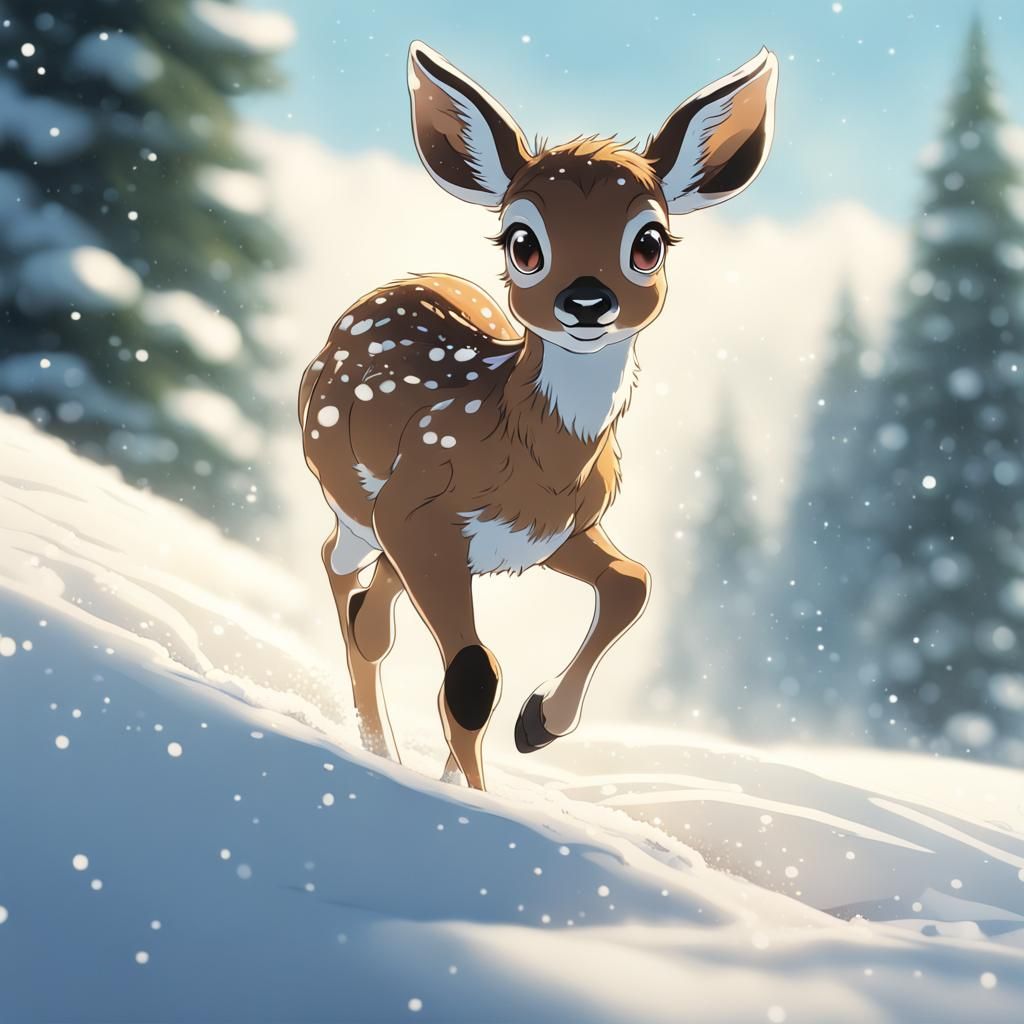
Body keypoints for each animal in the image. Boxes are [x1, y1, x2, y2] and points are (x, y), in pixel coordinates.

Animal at [299, 41, 778, 791]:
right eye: (522, 241)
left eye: (650, 241)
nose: (586, 300)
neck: (530, 458)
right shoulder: (416, 511)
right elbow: (472, 675)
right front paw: (474, 795)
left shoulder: (555, 532)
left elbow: (634, 583)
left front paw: (538, 724)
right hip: (355, 501)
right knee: (347, 584)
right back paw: (380, 749)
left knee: (367, 608)